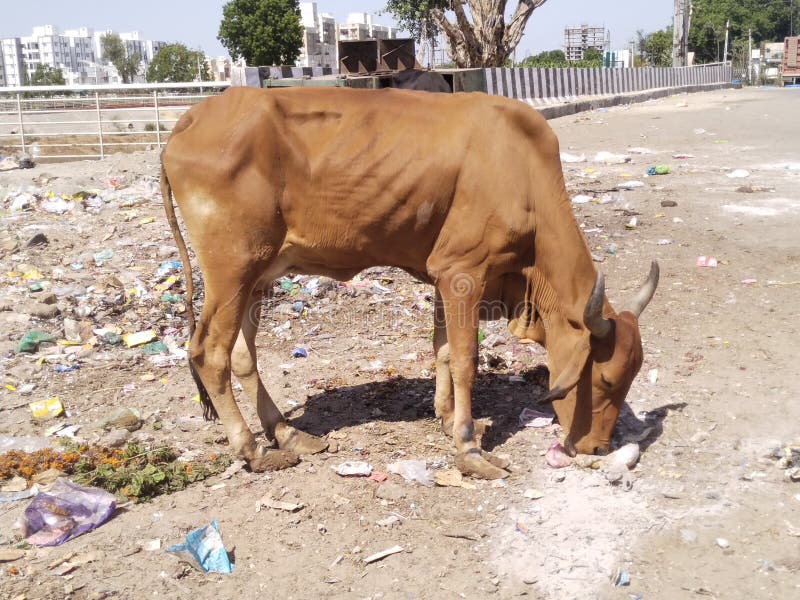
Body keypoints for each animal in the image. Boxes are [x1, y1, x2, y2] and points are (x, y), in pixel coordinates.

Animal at [160, 86, 658, 480]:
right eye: (606, 380)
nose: (597, 447)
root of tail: (188, 121)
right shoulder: (463, 271)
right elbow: (466, 360)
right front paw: (469, 448)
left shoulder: (444, 275)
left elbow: (442, 350)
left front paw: (447, 418)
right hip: (232, 269)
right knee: (209, 353)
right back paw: (253, 450)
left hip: (258, 275)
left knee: (242, 356)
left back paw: (288, 434)